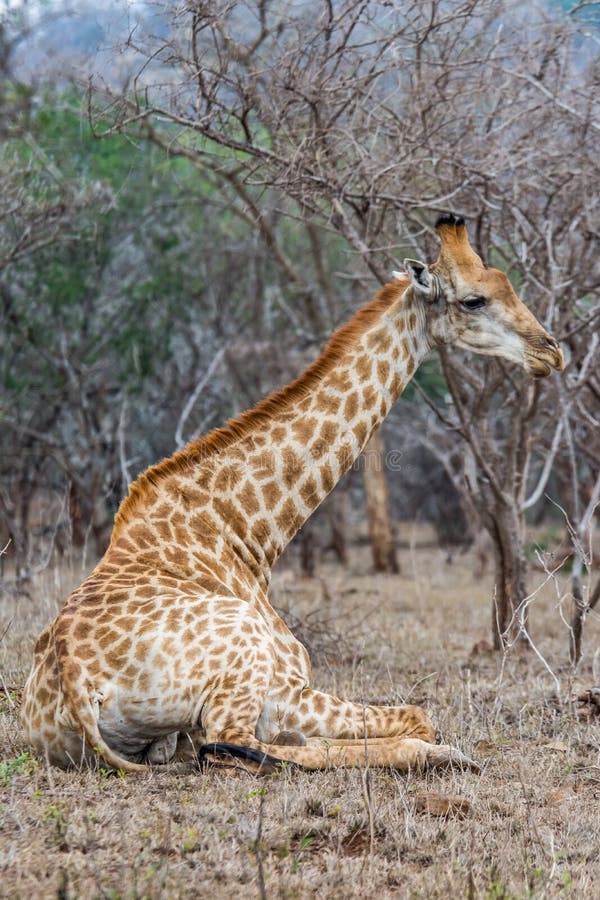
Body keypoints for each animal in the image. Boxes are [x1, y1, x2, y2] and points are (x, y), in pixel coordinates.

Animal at [21, 215, 564, 774]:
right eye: (474, 300)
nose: (551, 351)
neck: (243, 533)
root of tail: (76, 684)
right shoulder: (285, 688)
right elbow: (419, 714)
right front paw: (438, 748)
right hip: (248, 669)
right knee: (231, 745)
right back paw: (439, 754)